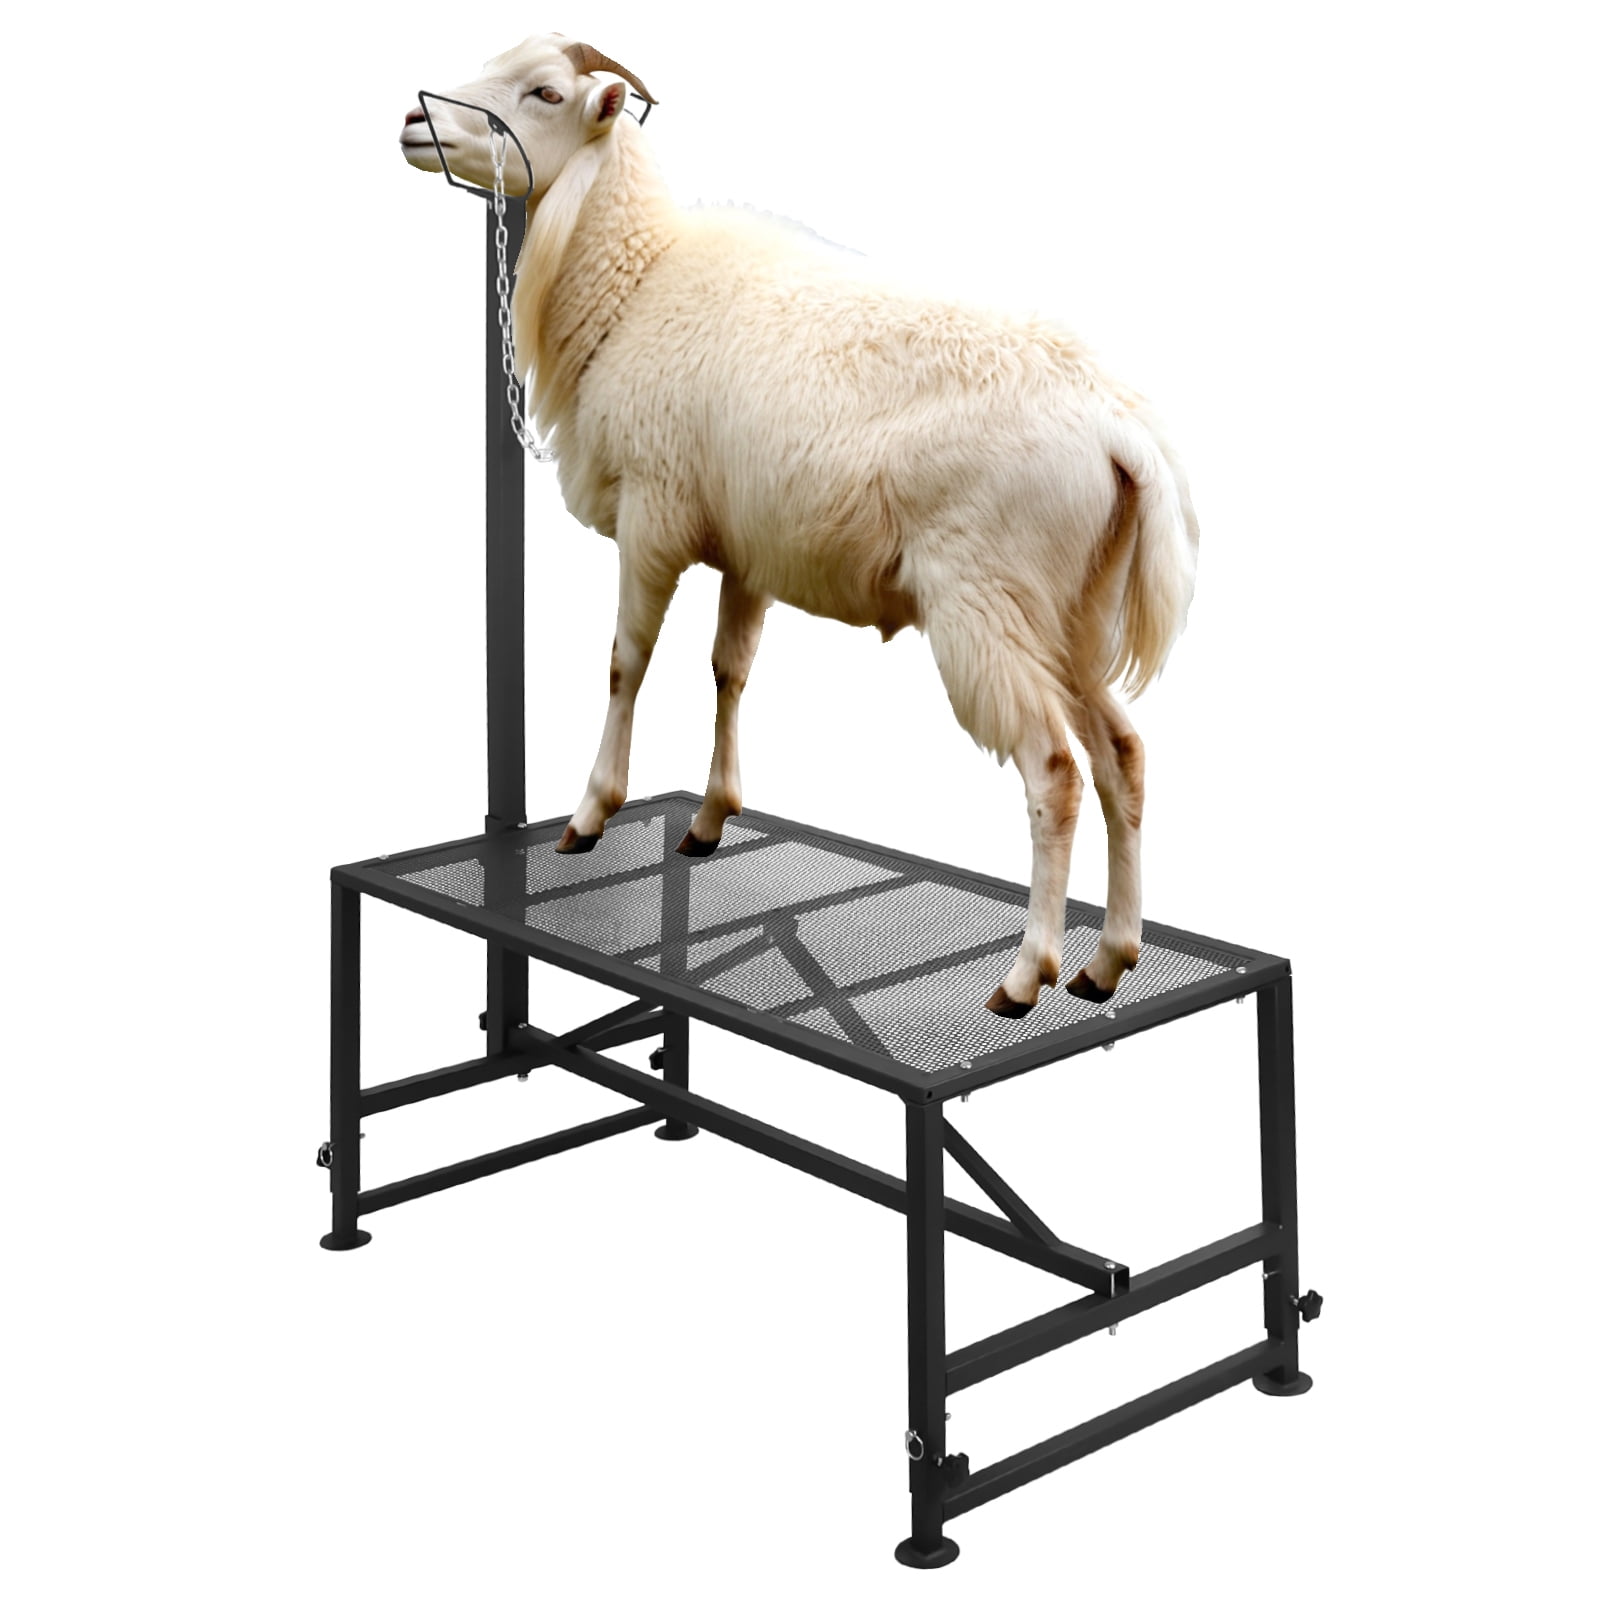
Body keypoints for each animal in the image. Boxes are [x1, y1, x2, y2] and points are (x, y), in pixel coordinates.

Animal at [399, 34, 1200, 1016]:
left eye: (545, 93)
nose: (413, 121)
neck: (634, 278)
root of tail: (1120, 427)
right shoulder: (747, 547)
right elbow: (729, 670)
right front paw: (709, 818)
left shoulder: (653, 513)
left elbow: (627, 662)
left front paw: (590, 813)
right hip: (1068, 611)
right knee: (1123, 755)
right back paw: (1108, 960)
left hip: (987, 599)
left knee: (1054, 770)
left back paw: (1026, 975)